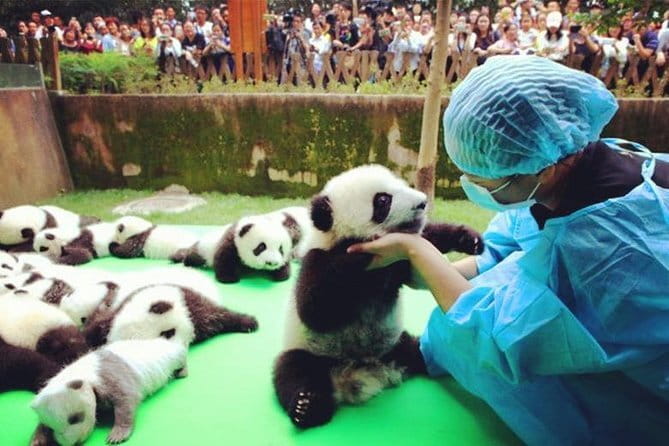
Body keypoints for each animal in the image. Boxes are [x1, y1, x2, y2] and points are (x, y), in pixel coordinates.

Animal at [30, 338, 187, 446]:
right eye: (51, 428)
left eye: (74, 418)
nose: (72, 443)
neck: (80, 373)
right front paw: (37, 439)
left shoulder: (109, 375)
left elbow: (126, 399)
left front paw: (117, 435)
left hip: (169, 355)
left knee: (180, 356)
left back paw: (182, 371)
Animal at [171, 207, 310, 284]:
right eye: (261, 247)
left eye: (281, 249)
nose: (271, 263)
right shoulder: (231, 242)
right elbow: (224, 259)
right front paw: (229, 278)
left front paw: (281, 274)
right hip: (204, 248)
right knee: (194, 256)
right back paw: (184, 259)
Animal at [273, 164, 483, 428]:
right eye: (383, 200)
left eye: (402, 185)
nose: (423, 202)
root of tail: (359, 373)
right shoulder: (316, 260)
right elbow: (314, 310)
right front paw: (359, 252)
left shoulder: (399, 264)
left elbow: (426, 239)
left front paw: (469, 239)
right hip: (311, 351)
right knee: (294, 371)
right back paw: (307, 407)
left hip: (395, 344)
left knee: (419, 351)